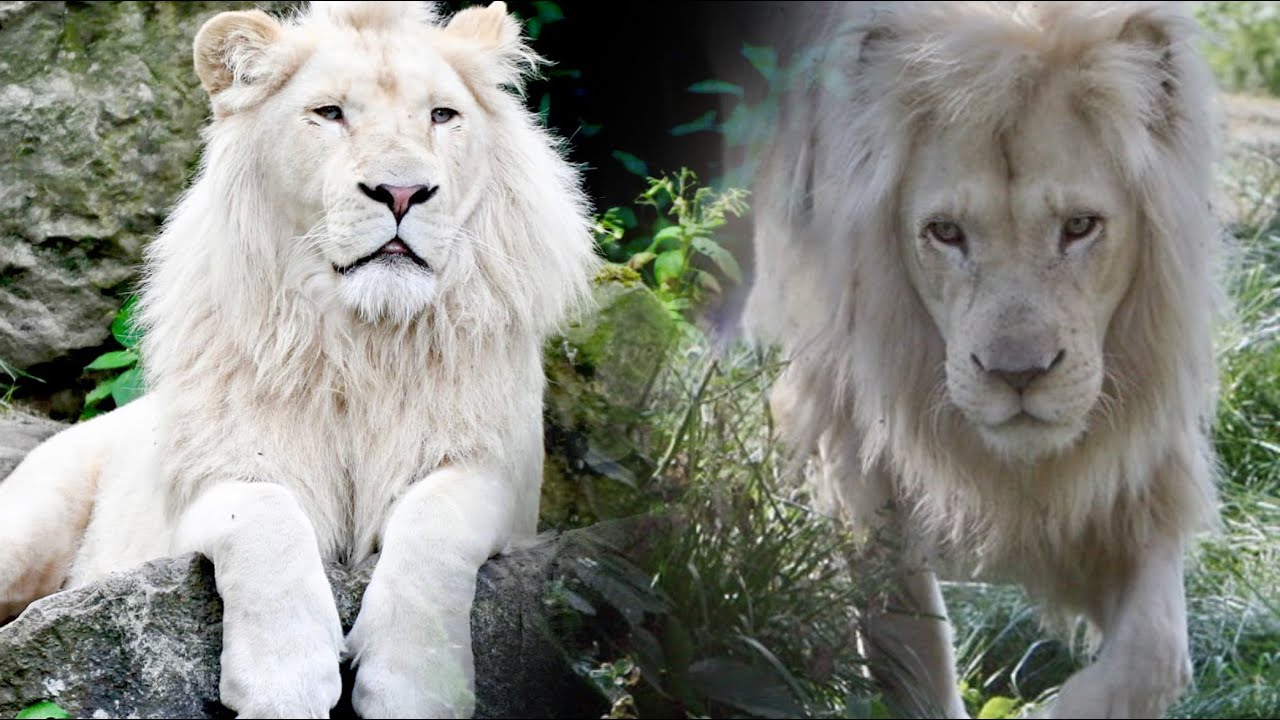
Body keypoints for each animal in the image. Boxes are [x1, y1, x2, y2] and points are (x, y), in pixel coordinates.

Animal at [0, 2, 598, 717]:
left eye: (441, 115)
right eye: (330, 113)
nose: (402, 192)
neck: (365, 339)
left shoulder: (503, 482)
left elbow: (434, 525)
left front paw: (413, 684)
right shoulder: (211, 479)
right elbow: (266, 517)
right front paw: (284, 681)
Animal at [743, 2, 1223, 718]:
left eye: (1080, 226)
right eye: (946, 232)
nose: (1016, 375)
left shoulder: (1141, 471)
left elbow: (1153, 653)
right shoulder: (861, 470)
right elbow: (913, 654)